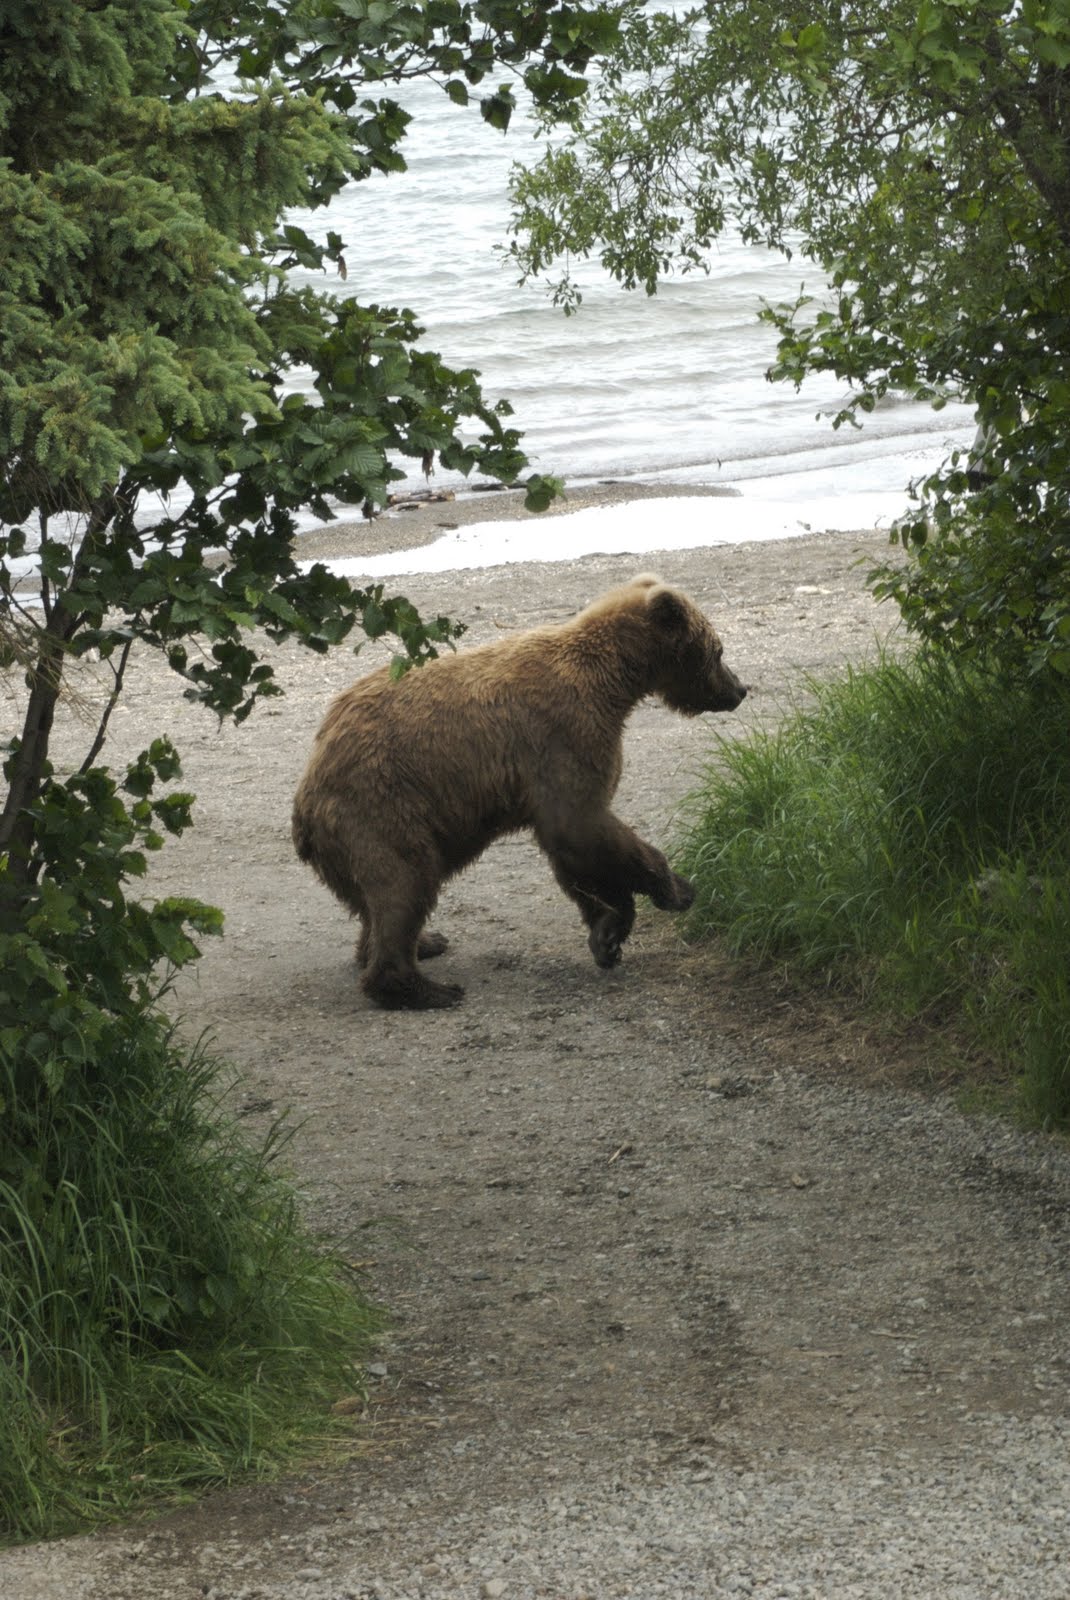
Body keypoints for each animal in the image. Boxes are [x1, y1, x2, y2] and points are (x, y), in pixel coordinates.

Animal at [291, 574, 747, 1010]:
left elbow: (572, 848)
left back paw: (424, 943)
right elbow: (580, 825)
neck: (616, 680)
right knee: (403, 883)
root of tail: (306, 802)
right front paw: (676, 889)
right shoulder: (565, 734)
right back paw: (423, 988)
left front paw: (608, 932)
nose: (739, 689)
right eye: (718, 649)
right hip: (383, 807)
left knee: (377, 901)